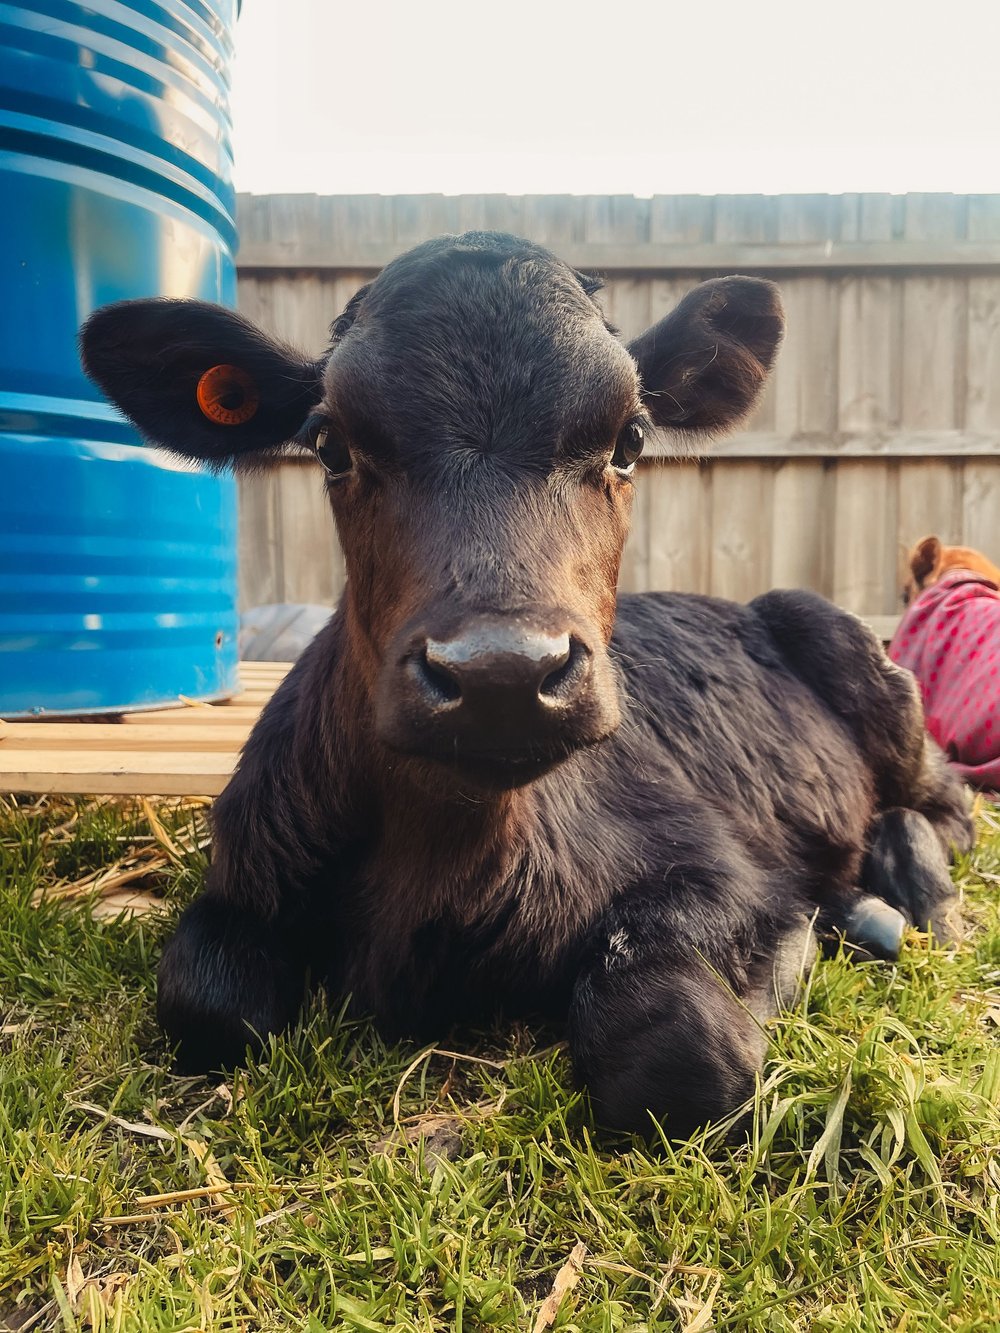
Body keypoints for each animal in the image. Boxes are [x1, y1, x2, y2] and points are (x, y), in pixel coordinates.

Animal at [80, 232, 973, 1140]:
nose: (500, 672)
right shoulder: (248, 871)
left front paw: (798, 942)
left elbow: (683, 1050)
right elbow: (203, 1003)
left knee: (947, 805)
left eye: (629, 440)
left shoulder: (719, 863)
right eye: (331, 444)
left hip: (865, 670)